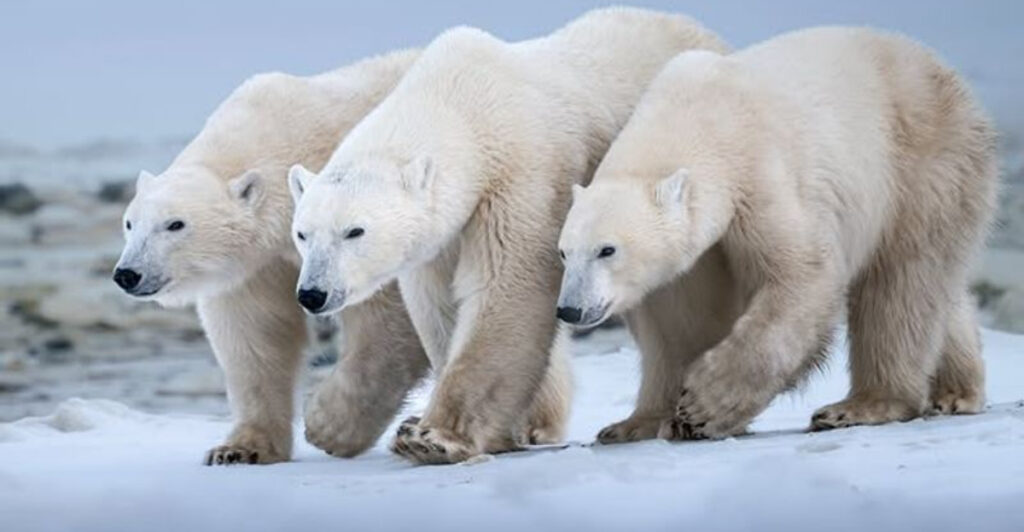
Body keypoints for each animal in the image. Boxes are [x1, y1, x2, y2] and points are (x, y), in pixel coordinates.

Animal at [114, 50, 437, 465]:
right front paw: (238, 449)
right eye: (129, 223)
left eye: (175, 224)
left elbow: (386, 318)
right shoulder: (258, 265)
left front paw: (330, 426)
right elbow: (256, 333)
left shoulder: (363, 223)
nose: (128, 273)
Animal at [287, 7, 728, 464]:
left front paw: (433, 437)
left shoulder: (522, 175)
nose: (313, 294)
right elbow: (440, 306)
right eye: (302, 233)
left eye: (354, 230)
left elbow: (507, 287)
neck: (463, 105)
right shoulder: (443, 234)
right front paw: (500, 429)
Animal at [556, 27, 997, 443]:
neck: (699, 118)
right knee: (933, 289)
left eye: (607, 250)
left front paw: (703, 405)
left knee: (899, 284)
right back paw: (956, 391)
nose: (570, 310)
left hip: (922, 164)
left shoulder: (761, 177)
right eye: (563, 252)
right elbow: (682, 323)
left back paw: (860, 405)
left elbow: (801, 274)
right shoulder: (696, 259)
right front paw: (644, 422)